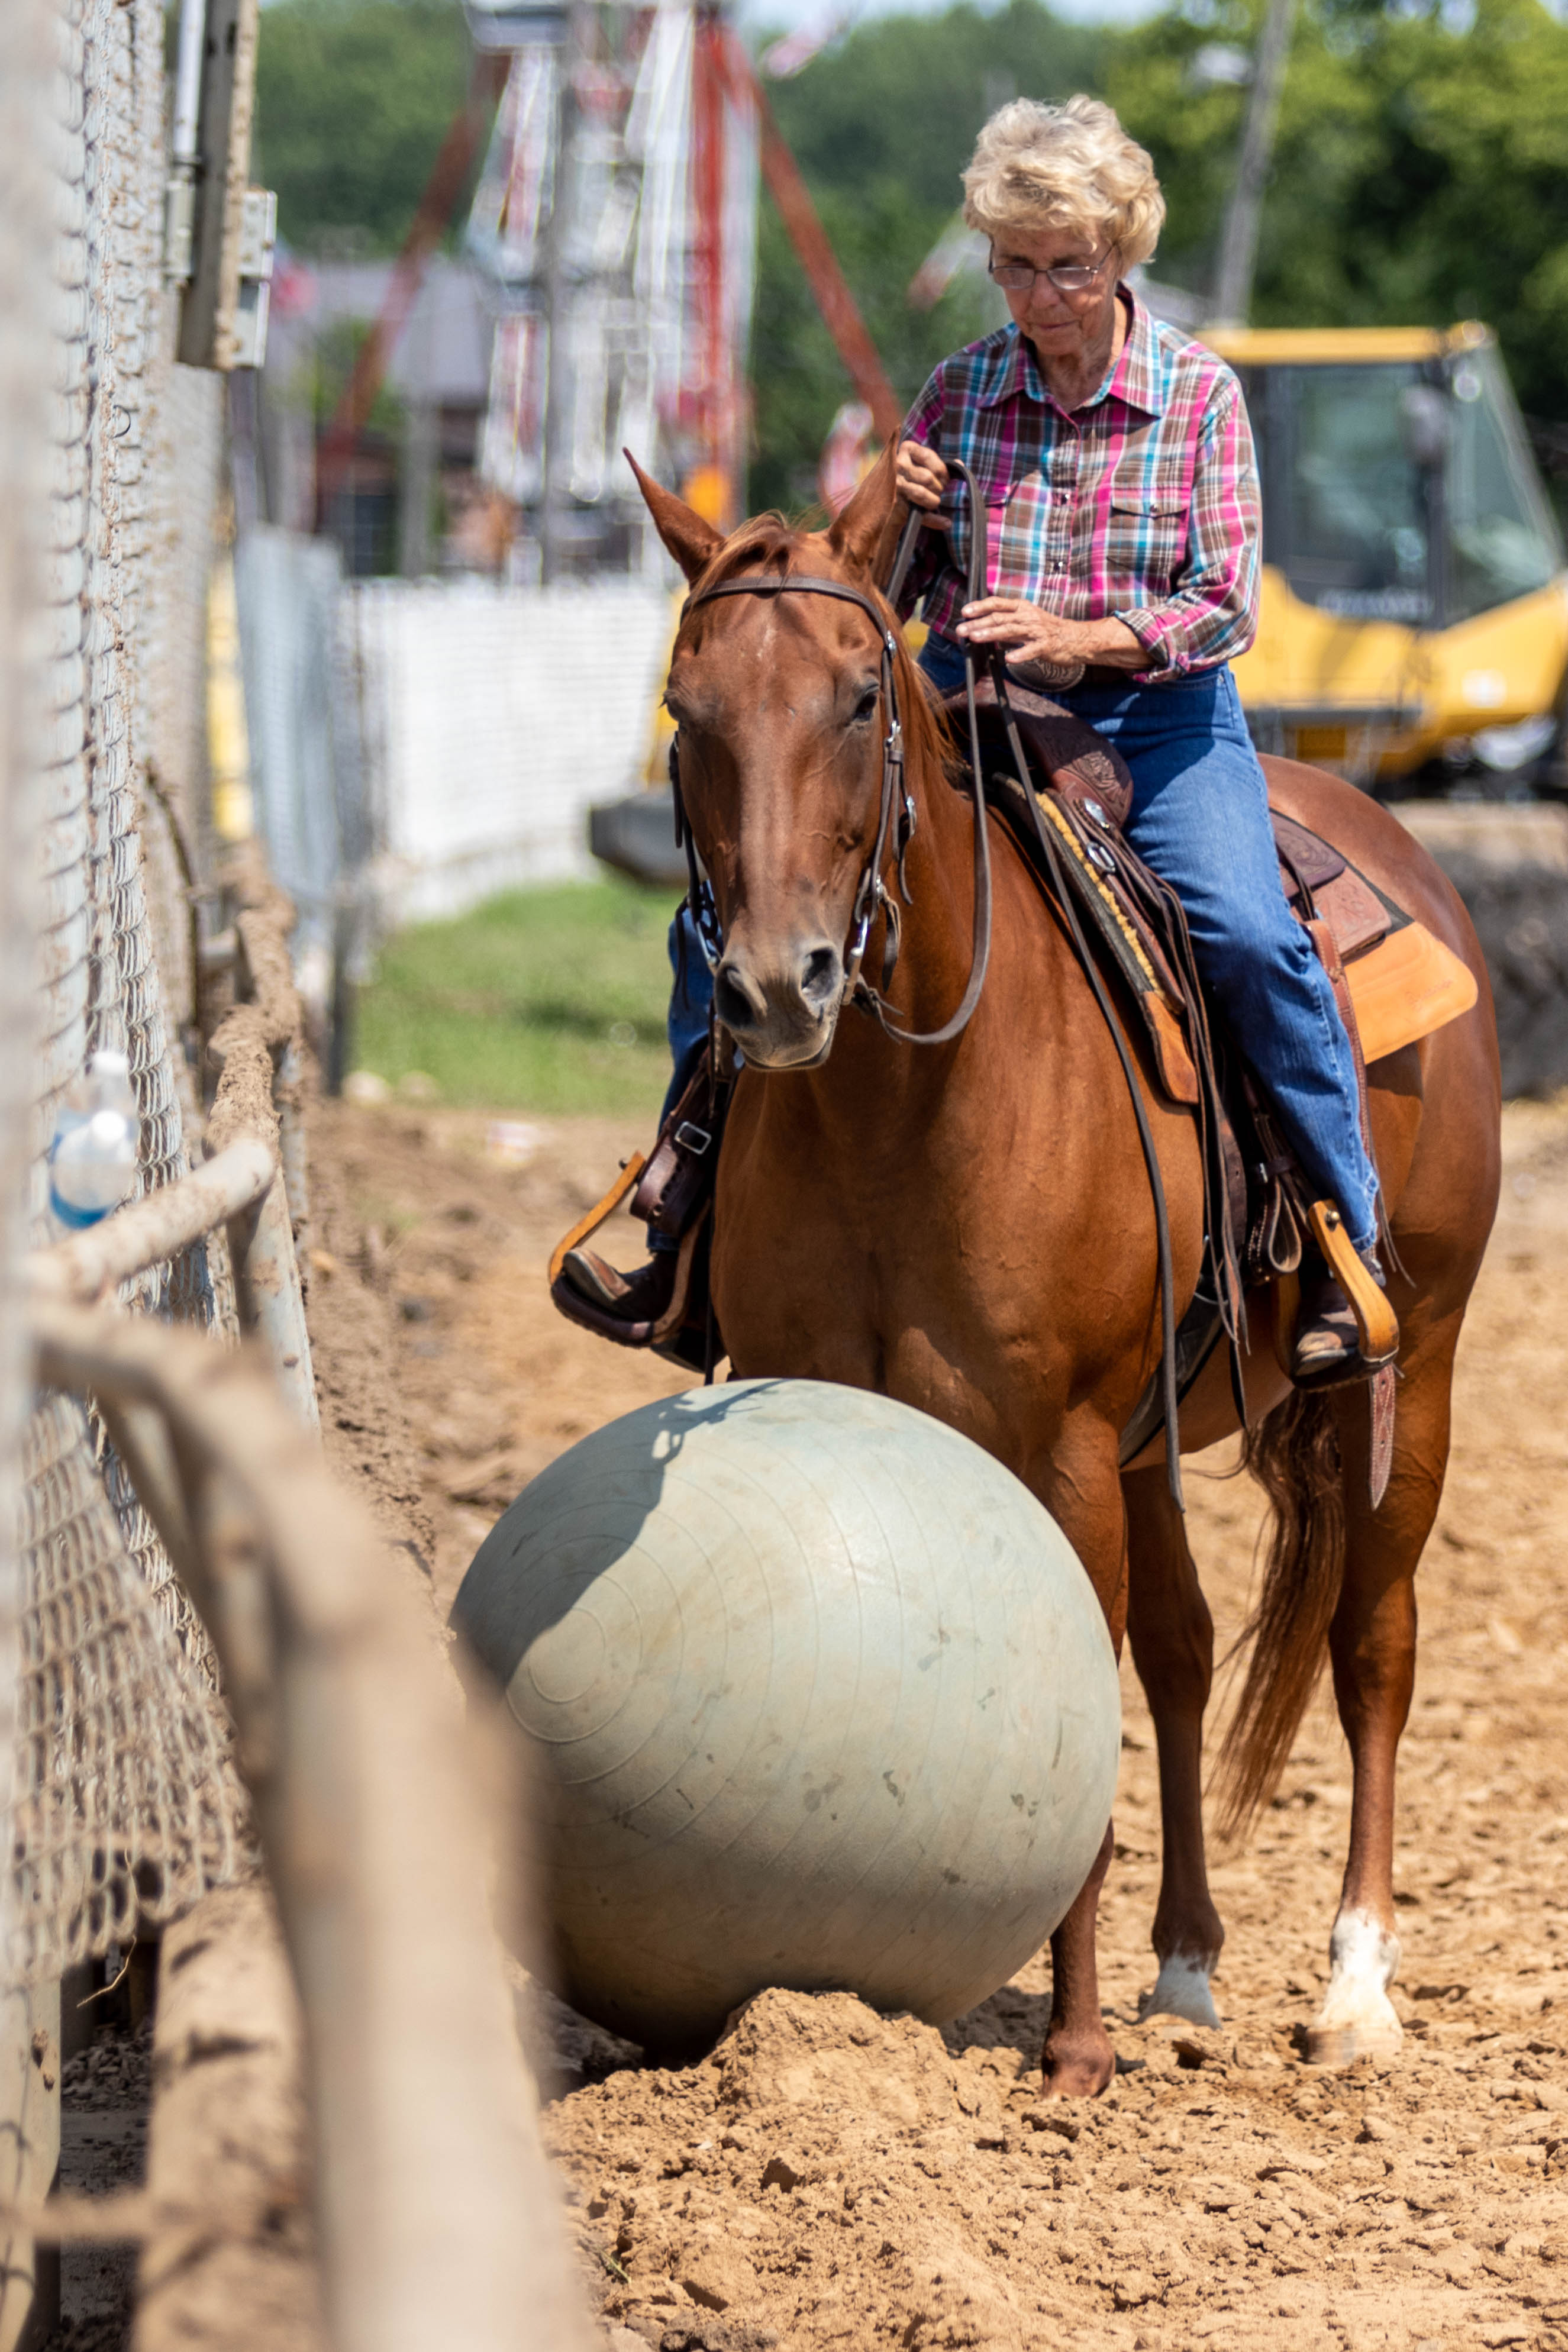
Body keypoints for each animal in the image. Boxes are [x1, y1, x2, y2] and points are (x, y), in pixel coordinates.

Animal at [630, 444, 1502, 2096]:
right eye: (682, 706)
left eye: (858, 692)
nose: (775, 986)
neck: (908, 1098)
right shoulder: (856, 1403)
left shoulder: (1061, 1441)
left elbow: (1079, 1696)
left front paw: (1075, 2047)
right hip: (1160, 1427)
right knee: (1183, 1648)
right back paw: (1185, 1964)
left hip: (1410, 1367)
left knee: (1370, 1642)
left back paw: (1353, 1987)